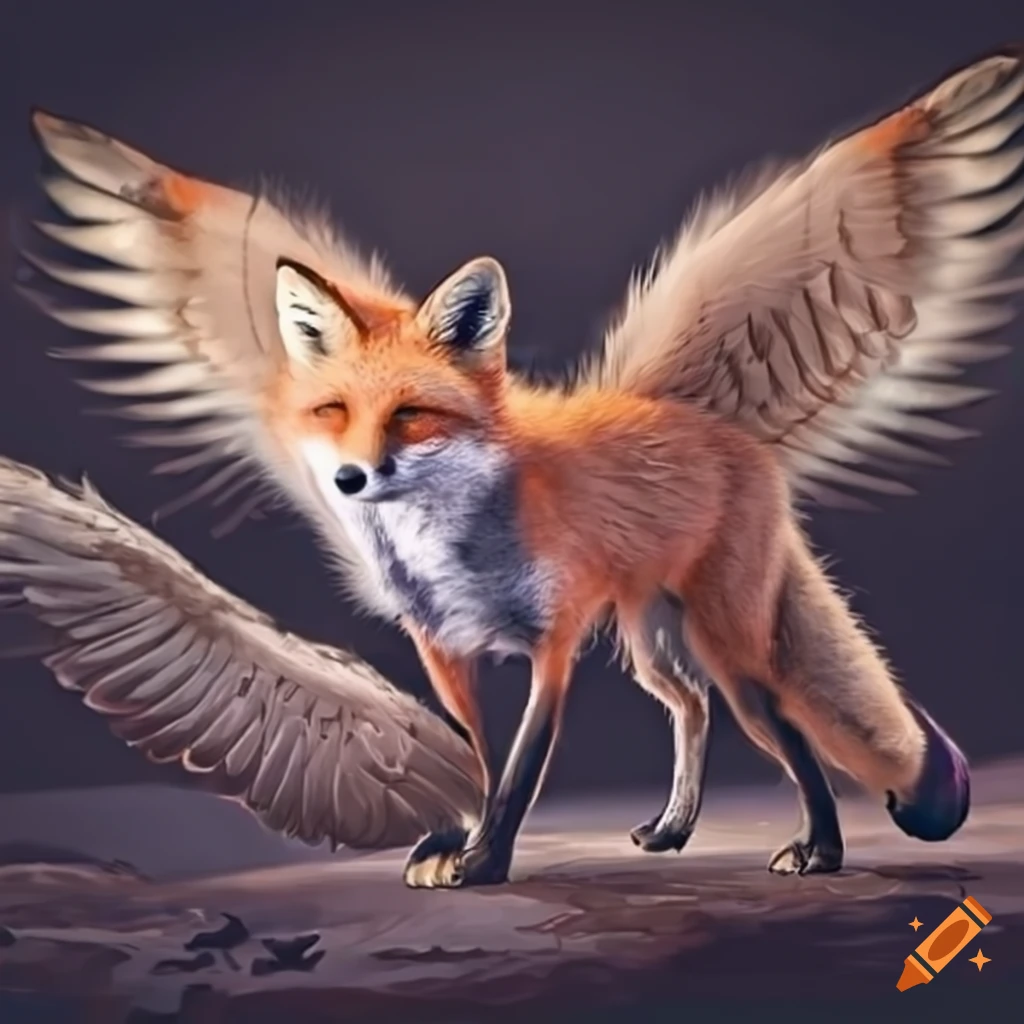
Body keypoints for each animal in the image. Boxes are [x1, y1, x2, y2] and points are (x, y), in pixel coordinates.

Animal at [16, 48, 1024, 888]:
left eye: (412, 415)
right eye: (333, 413)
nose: (349, 480)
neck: (455, 548)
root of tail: (719, 426)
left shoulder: (553, 644)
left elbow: (519, 773)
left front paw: (486, 864)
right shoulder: (446, 649)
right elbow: (471, 759)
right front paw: (450, 845)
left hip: (723, 642)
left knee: (781, 729)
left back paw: (820, 848)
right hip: (651, 639)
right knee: (690, 707)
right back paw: (673, 828)